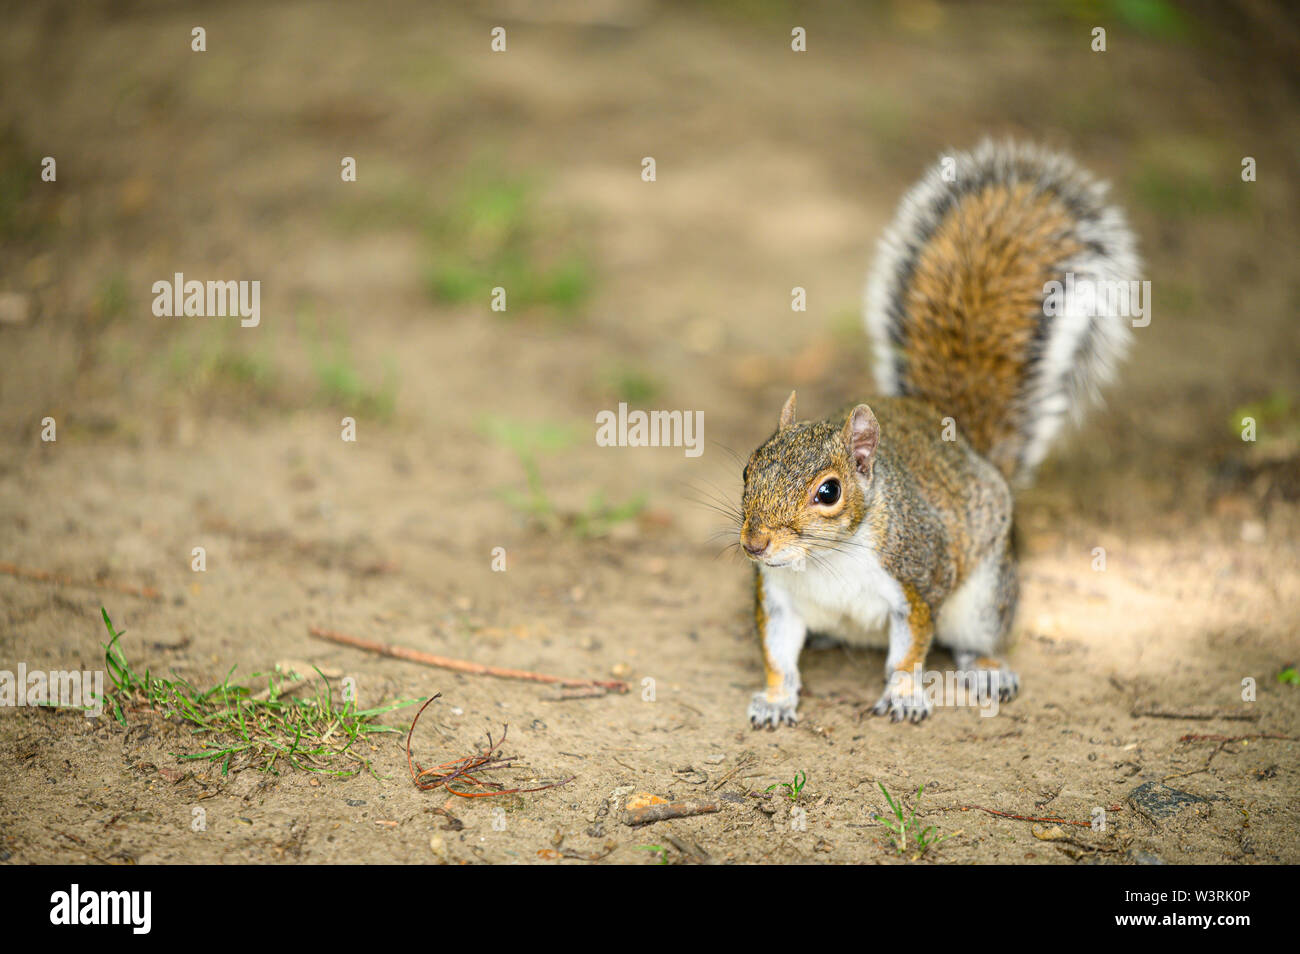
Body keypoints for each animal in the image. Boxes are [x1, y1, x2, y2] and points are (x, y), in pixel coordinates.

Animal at [740, 140, 1140, 727]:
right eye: (748, 469)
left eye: (828, 492)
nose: (754, 543)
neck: (826, 561)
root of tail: (970, 447)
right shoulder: (779, 597)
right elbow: (777, 655)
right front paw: (774, 700)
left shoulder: (919, 579)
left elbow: (910, 650)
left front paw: (905, 695)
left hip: (984, 594)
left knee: (981, 634)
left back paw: (990, 667)